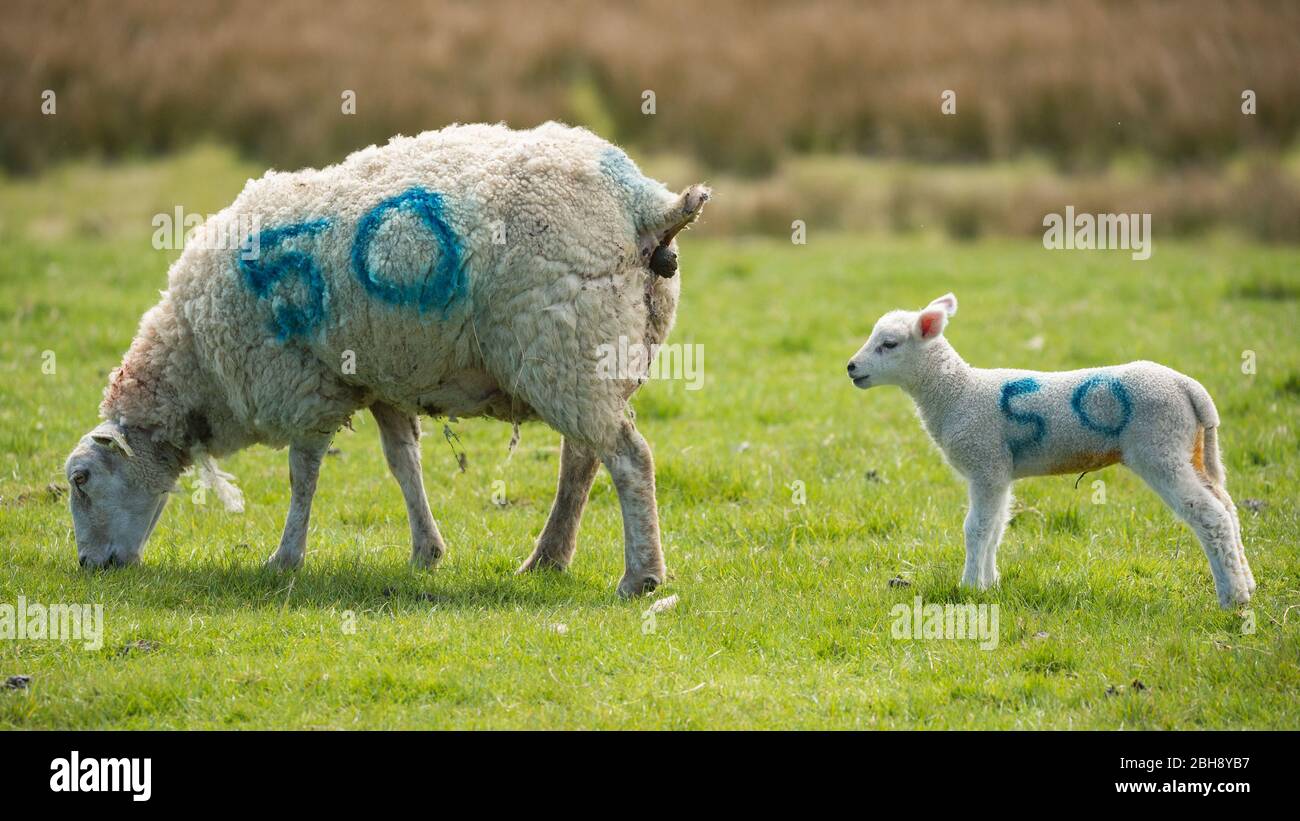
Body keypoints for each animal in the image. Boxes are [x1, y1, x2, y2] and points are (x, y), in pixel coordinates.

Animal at [63, 122, 710, 598]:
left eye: (81, 480)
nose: (90, 566)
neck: (195, 357)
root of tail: (645, 202)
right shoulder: (379, 379)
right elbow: (404, 464)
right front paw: (427, 551)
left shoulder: (304, 382)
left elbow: (303, 476)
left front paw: (285, 558)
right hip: (589, 356)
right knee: (583, 460)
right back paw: (547, 559)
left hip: (564, 345)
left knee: (628, 458)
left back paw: (641, 576)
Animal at [846, 293, 1255, 609]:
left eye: (889, 344)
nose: (851, 367)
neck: (957, 393)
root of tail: (1190, 388)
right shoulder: (1000, 471)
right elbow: (997, 526)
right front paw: (990, 585)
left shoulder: (985, 461)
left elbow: (976, 528)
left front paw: (969, 586)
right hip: (1191, 447)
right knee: (1229, 507)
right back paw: (1247, 582)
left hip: (1160, 446)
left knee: (1210, 515)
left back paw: (1232, 598)